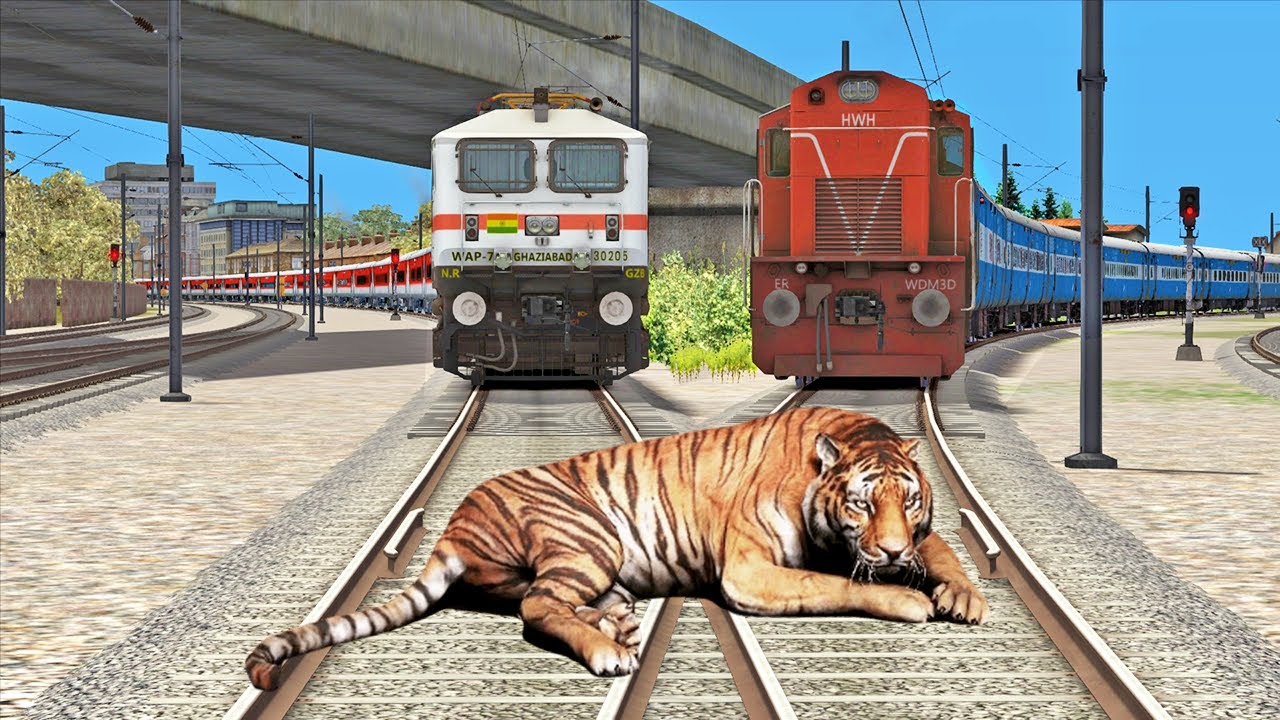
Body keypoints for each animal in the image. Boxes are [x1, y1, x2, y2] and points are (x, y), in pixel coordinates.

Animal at [245, 406, 989, 689]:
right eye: (861, 502)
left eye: (909, 501)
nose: (890, 551)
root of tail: (454, 522)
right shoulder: (750, 571)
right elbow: (836, 584)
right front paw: (907, 598)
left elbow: (943, 549)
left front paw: (963, 594)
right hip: (587, 534)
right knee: (537, 607)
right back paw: (609, 649)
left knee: (535, 598)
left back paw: (618, 620)